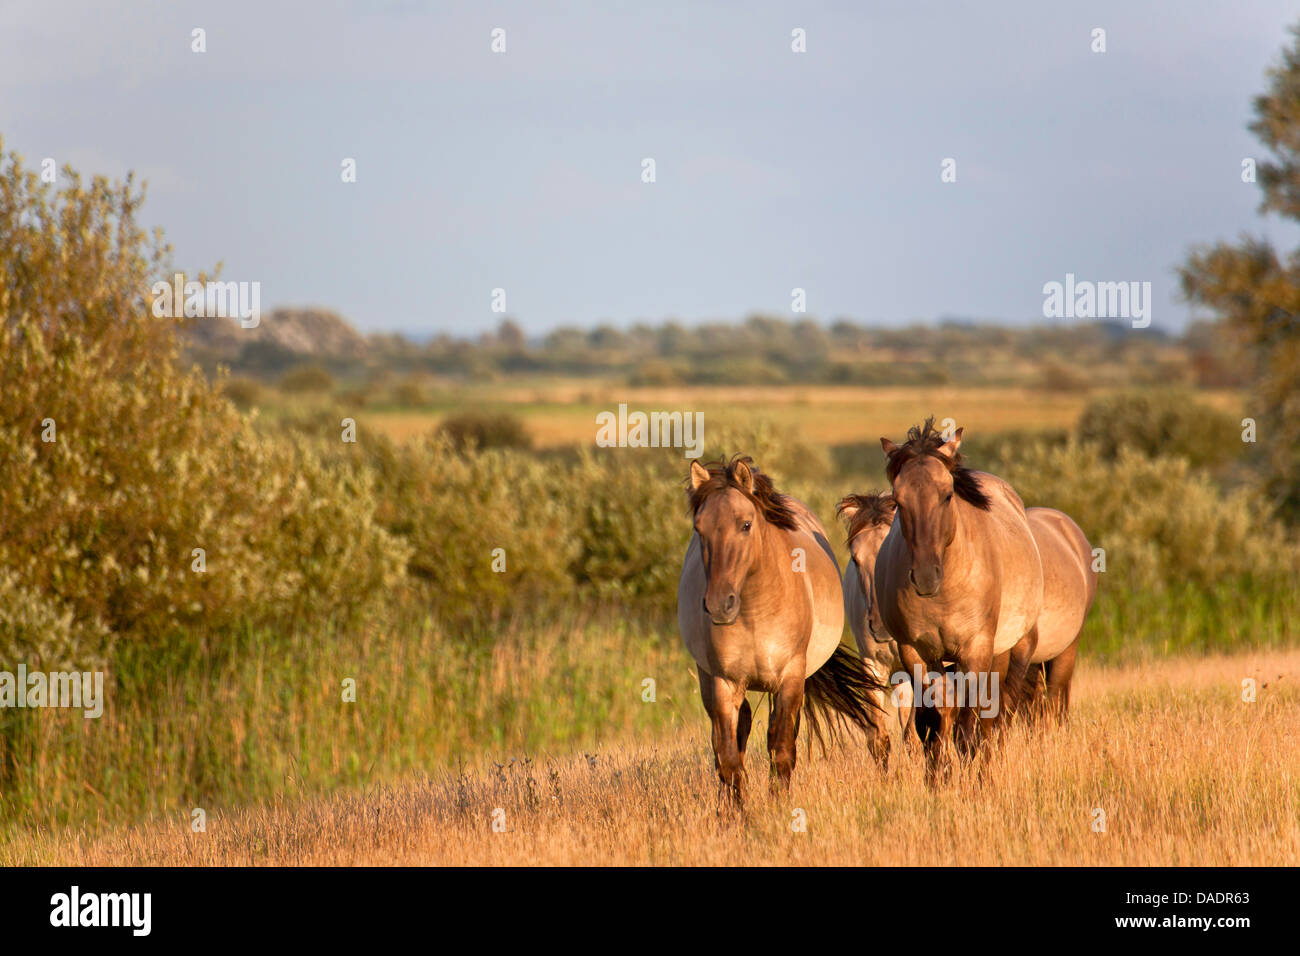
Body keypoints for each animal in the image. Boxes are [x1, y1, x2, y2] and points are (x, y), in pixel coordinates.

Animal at [678, 455, 882, 806]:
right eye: (698, 528)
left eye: (746, 524)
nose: (719, 604)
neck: (754, 612)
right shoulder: (723, 682)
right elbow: (728, 758)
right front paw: (738, 813)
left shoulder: (789, 678)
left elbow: (782, 748)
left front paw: (778, 806)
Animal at [875, 419, 1044, 777]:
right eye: (898, 501)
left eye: (947, 495)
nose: (925, 576)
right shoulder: (916, 653)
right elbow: (929, 724)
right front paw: (938, 778)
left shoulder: (975, 650)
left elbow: (969, 726)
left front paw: (968, 778)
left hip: (1012, 649)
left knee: (994, 718)